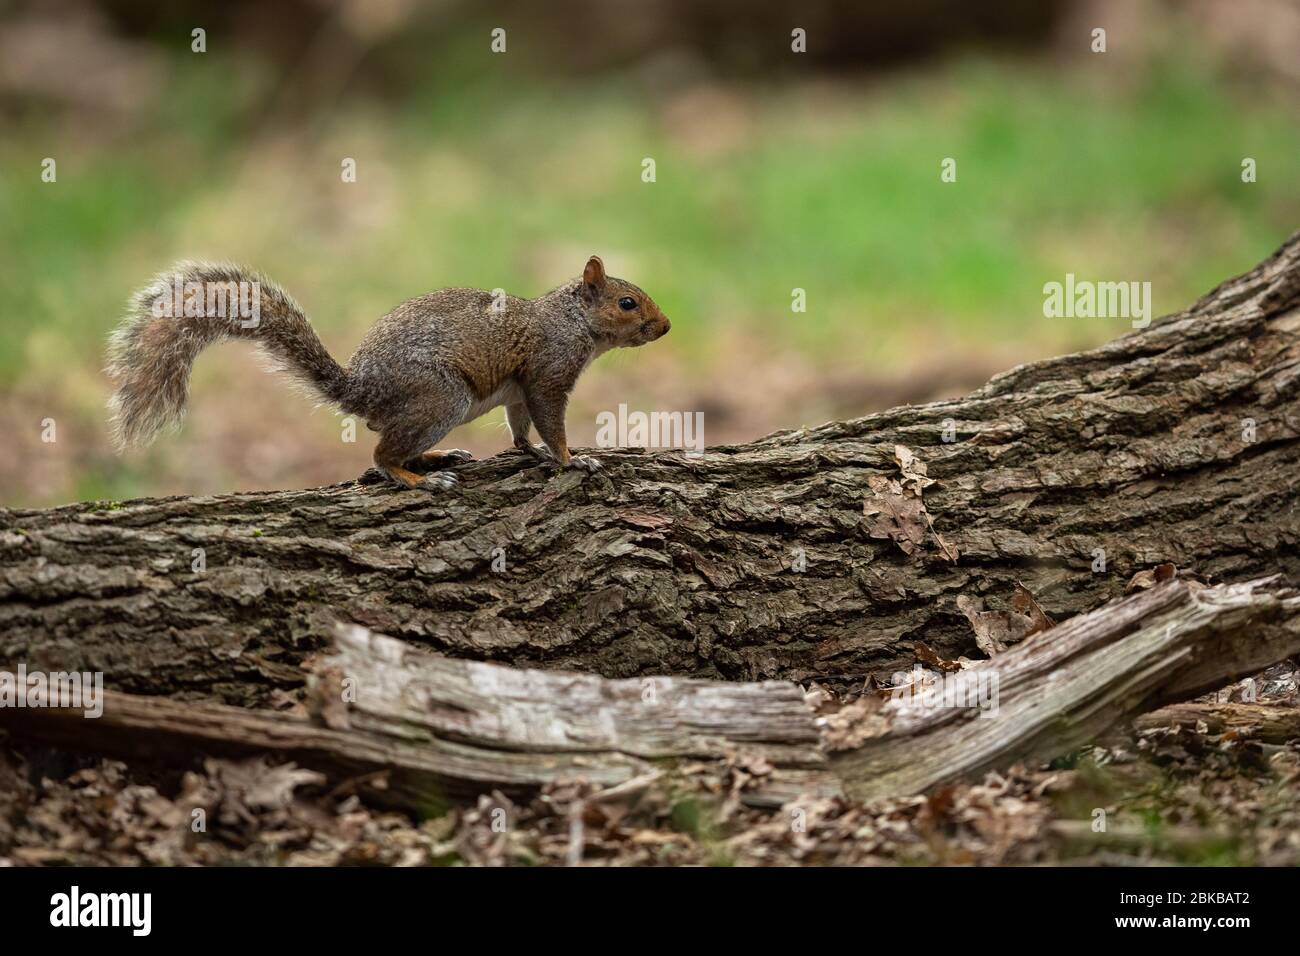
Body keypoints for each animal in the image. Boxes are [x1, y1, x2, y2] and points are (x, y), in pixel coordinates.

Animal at [106, 255, 670, 489]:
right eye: (627, 303)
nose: (665, 327)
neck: (571, 320)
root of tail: (362, 391)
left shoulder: (518, 390)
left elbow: (519, 426)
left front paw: (530, 452)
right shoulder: (549, 372)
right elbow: (551, 422)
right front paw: (573, 460)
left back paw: (437, 458)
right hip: (441, 398)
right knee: (380, 456)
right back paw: (420, 479)